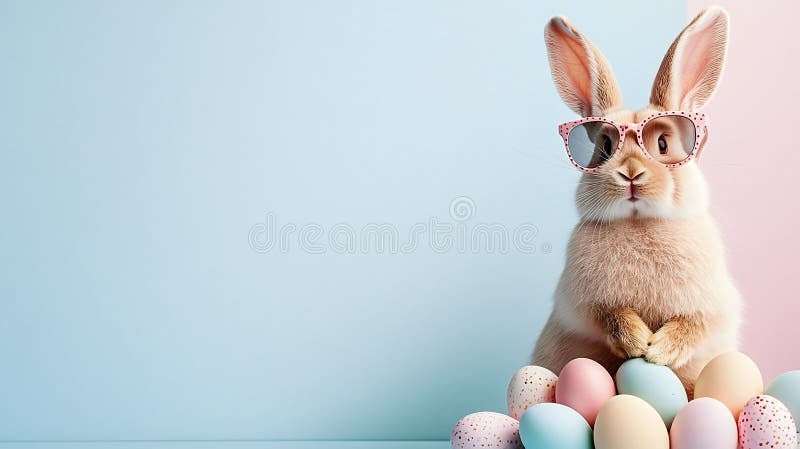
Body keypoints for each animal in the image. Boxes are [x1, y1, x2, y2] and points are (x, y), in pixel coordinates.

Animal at [532, 6, 742, 396]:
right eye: (605, 146)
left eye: (663, 144)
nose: (630, 173)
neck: (639, 222)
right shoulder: (582, 304)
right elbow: (610, 316)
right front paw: (638, 341)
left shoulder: (714, 308)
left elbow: (694, 324)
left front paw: (660, 350)